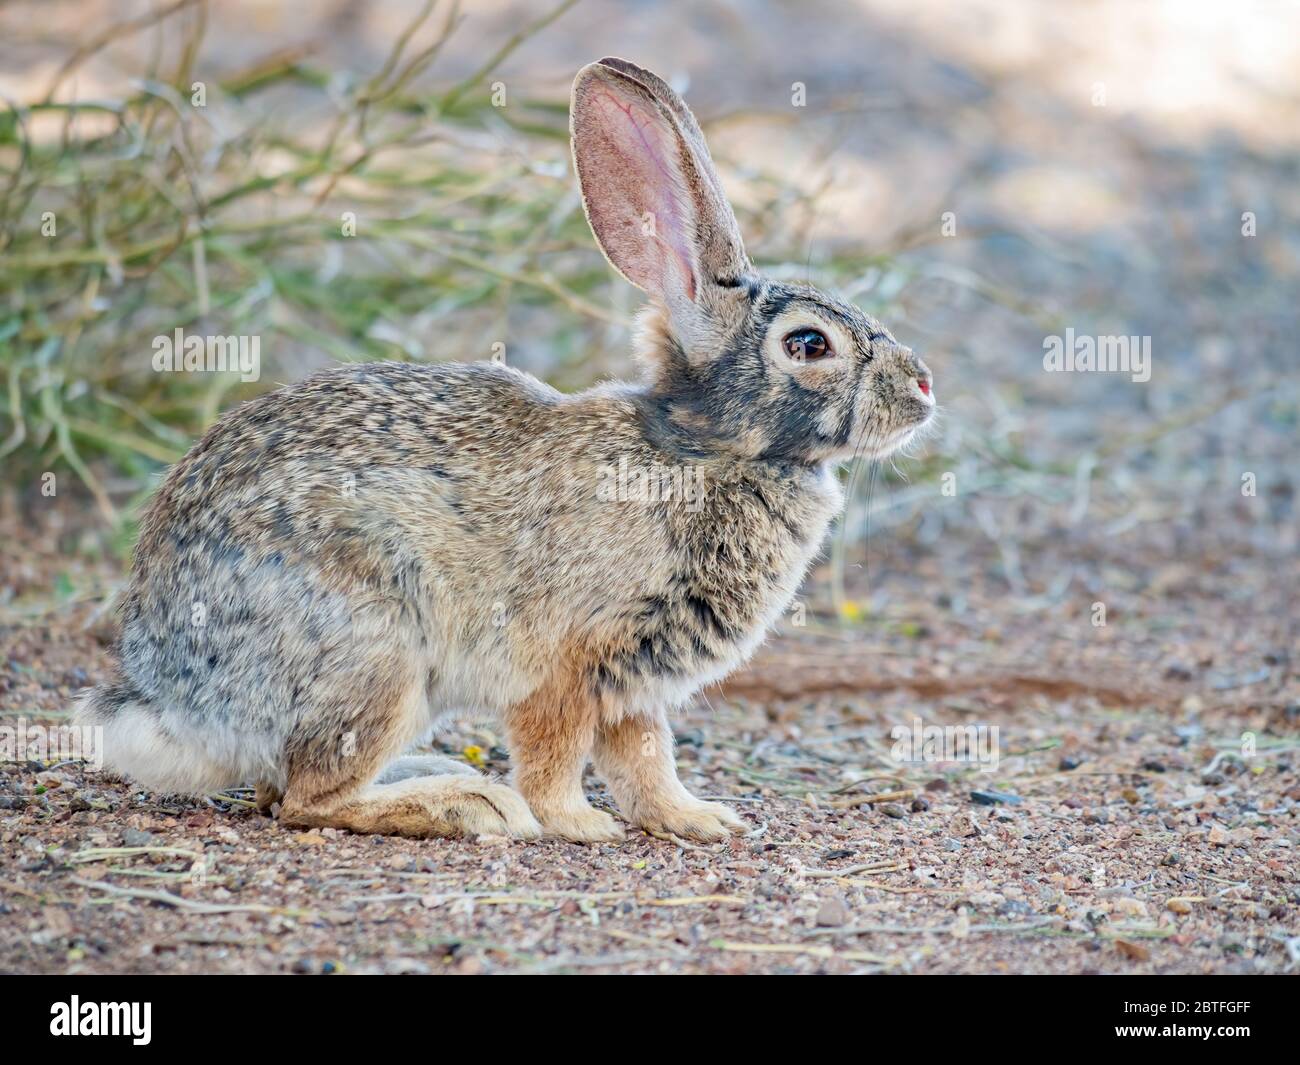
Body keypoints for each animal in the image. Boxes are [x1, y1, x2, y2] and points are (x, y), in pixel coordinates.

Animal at [75, 57, 935, 843]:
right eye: (809, 344)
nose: (923, 385)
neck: (706, 449)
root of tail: (173, 702)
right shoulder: (567, 660)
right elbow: (556, 752)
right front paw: (580, 823)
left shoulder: (635, 681)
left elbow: (646, 758)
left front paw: (697, 818)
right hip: (377, 654)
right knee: (309, 797)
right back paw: (469, 803)